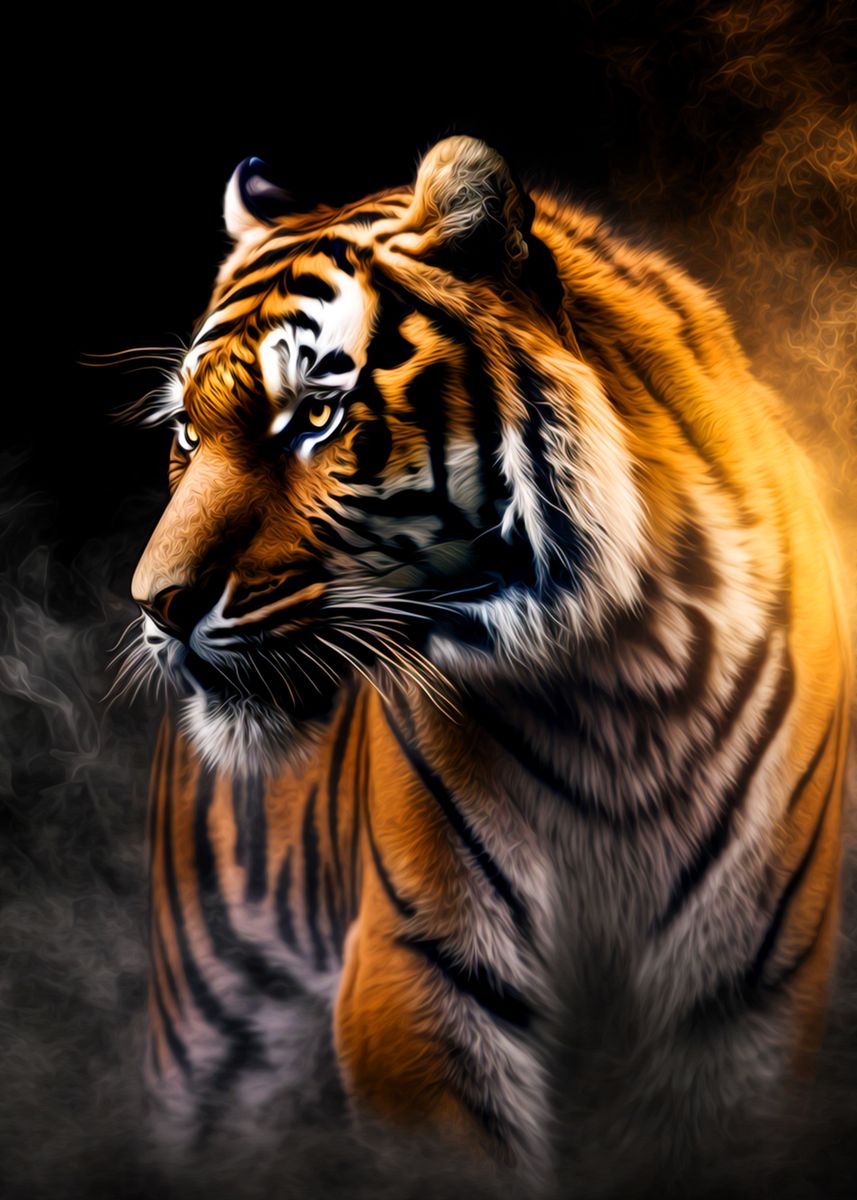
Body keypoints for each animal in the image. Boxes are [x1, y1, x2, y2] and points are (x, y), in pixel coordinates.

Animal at [127, 135, 852, 1190]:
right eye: (188, 430)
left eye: (315, 416)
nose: (156, 604)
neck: (623, 672)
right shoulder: (415, 968)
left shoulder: (749, 985)